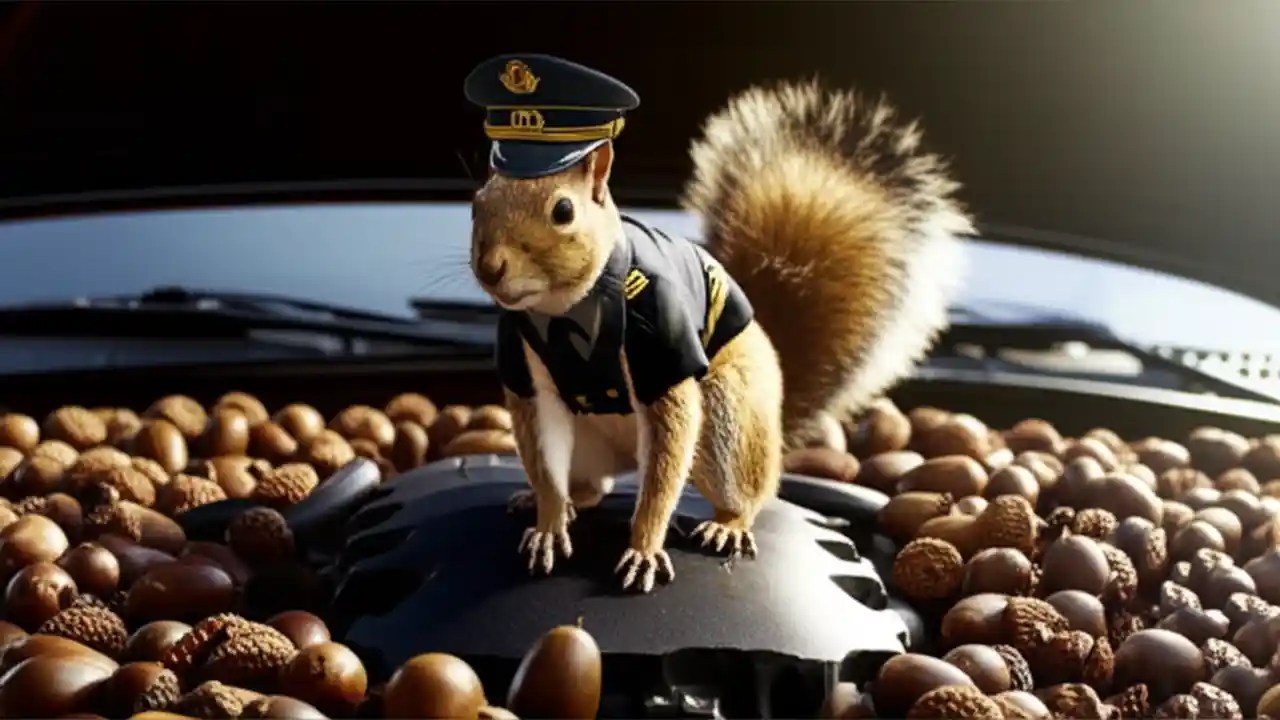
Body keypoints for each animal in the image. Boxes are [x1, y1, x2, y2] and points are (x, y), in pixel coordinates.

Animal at [464, 55, 972, 593]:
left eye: (563, 210)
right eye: (477, 203)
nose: (491, 268)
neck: (568, 311)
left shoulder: (661, 340)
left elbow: (664, 465)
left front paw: (643, 549)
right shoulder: (525, 374)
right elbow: (544, 462)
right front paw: (546, 524)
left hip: (727, 417)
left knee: (743, 489)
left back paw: (726, 525)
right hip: (588, 445)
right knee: (588, 487)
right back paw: (552, 503)